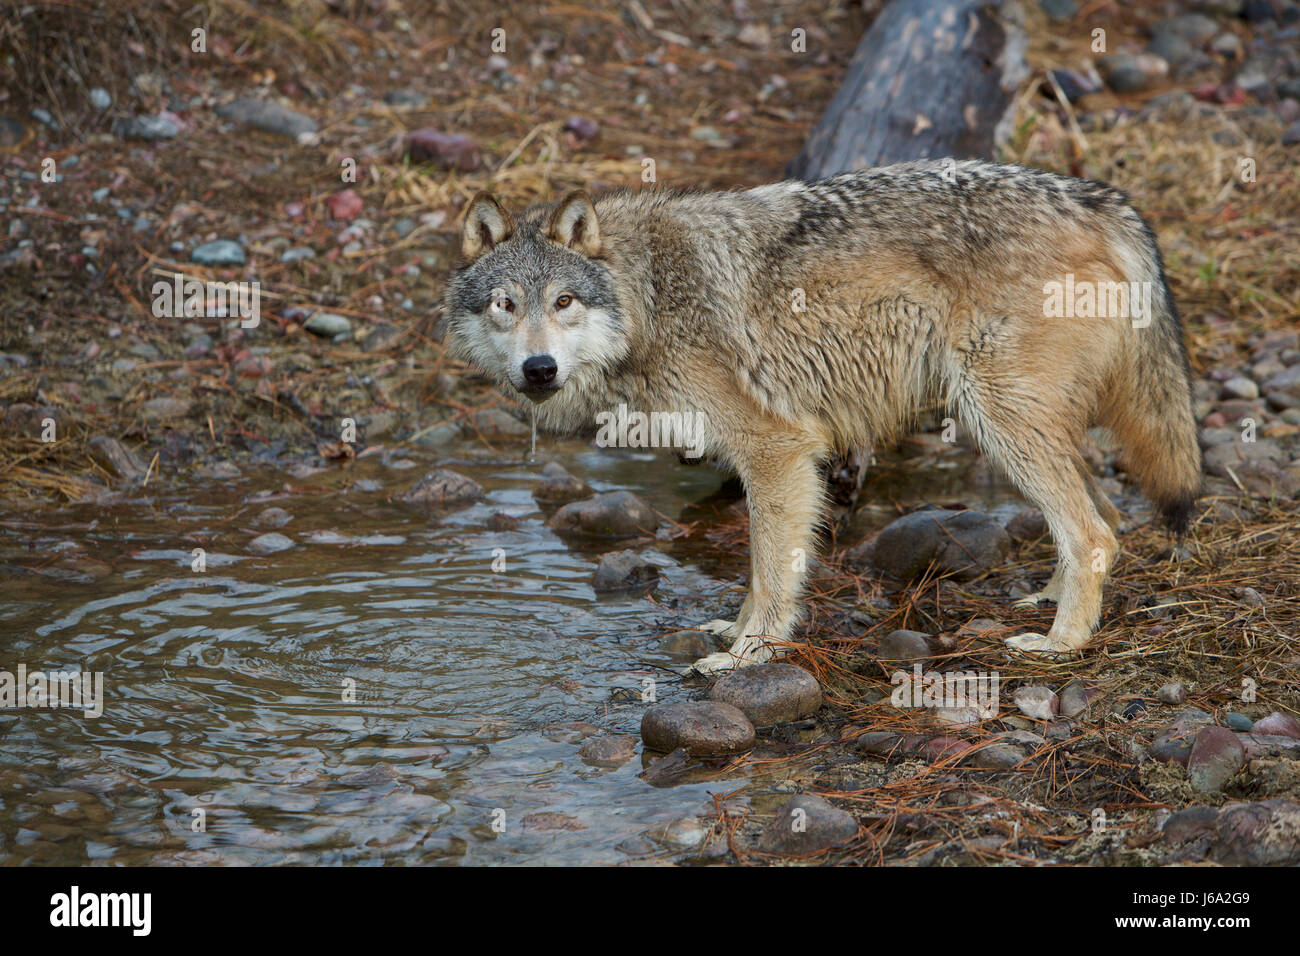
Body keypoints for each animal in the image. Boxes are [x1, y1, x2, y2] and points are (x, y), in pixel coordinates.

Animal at [443, 159, 1200, 676]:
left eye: (564, 301)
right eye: (505, 306)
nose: (539, 369)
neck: (649, 297)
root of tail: (1103, 200)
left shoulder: (777, 450)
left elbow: (773, 571)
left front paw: (749, 655)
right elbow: (760, 573)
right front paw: (736, 633)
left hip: (999, 418)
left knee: (1094, 532)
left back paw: (1060, 644)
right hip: (1018, 426)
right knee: (1107, 516)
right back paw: (1048, 602)